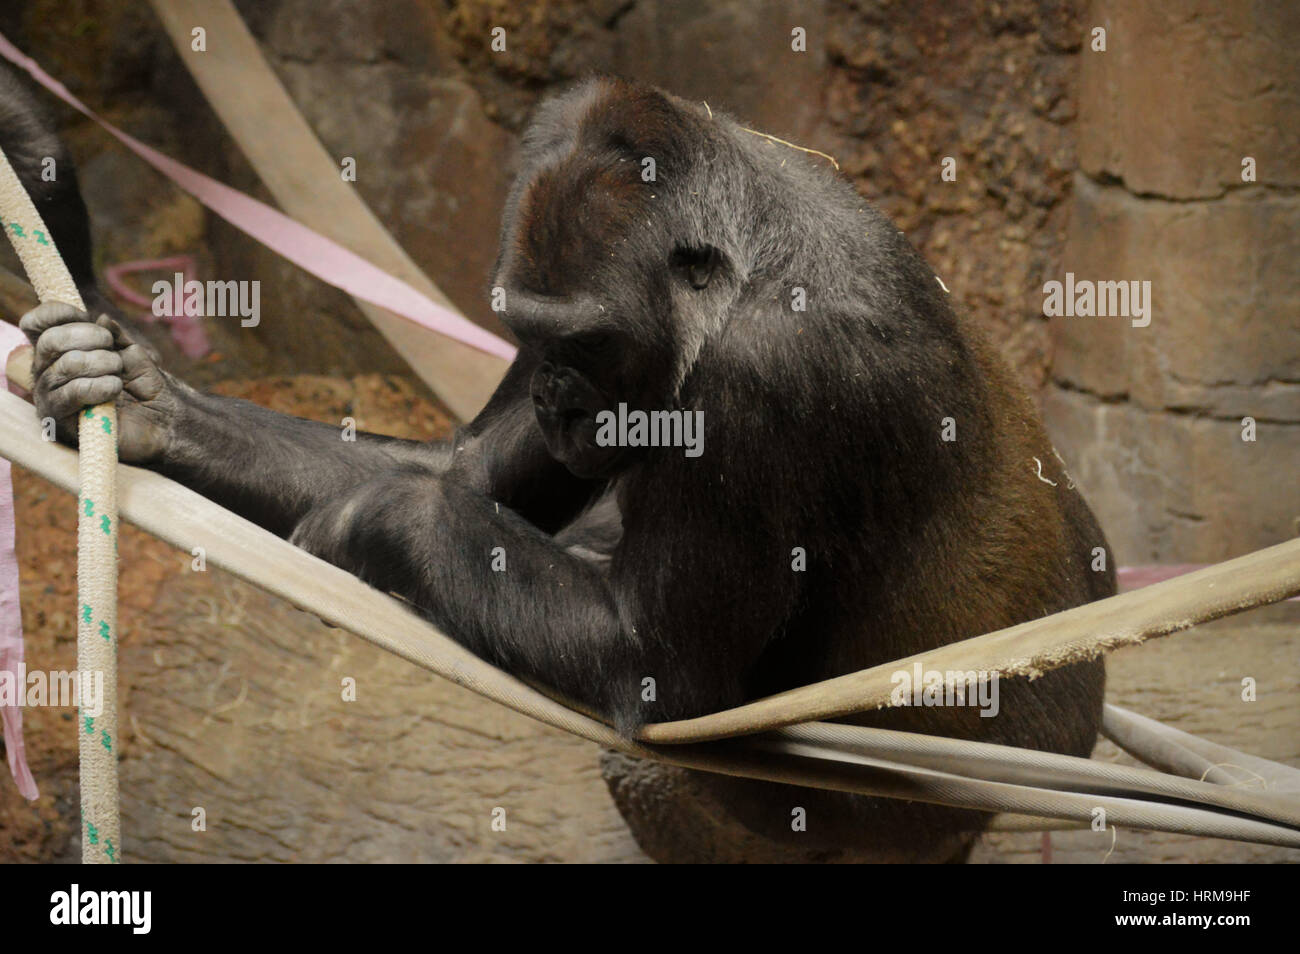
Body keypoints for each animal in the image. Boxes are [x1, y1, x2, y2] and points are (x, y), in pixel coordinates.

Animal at [5, 72, 1111, 862]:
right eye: (530, 336)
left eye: (589, 344)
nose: (553, 396)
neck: (742, 265)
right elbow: (468, 469)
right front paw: (142, 405)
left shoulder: (771, 375)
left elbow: (658, 673)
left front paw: (380, 518)